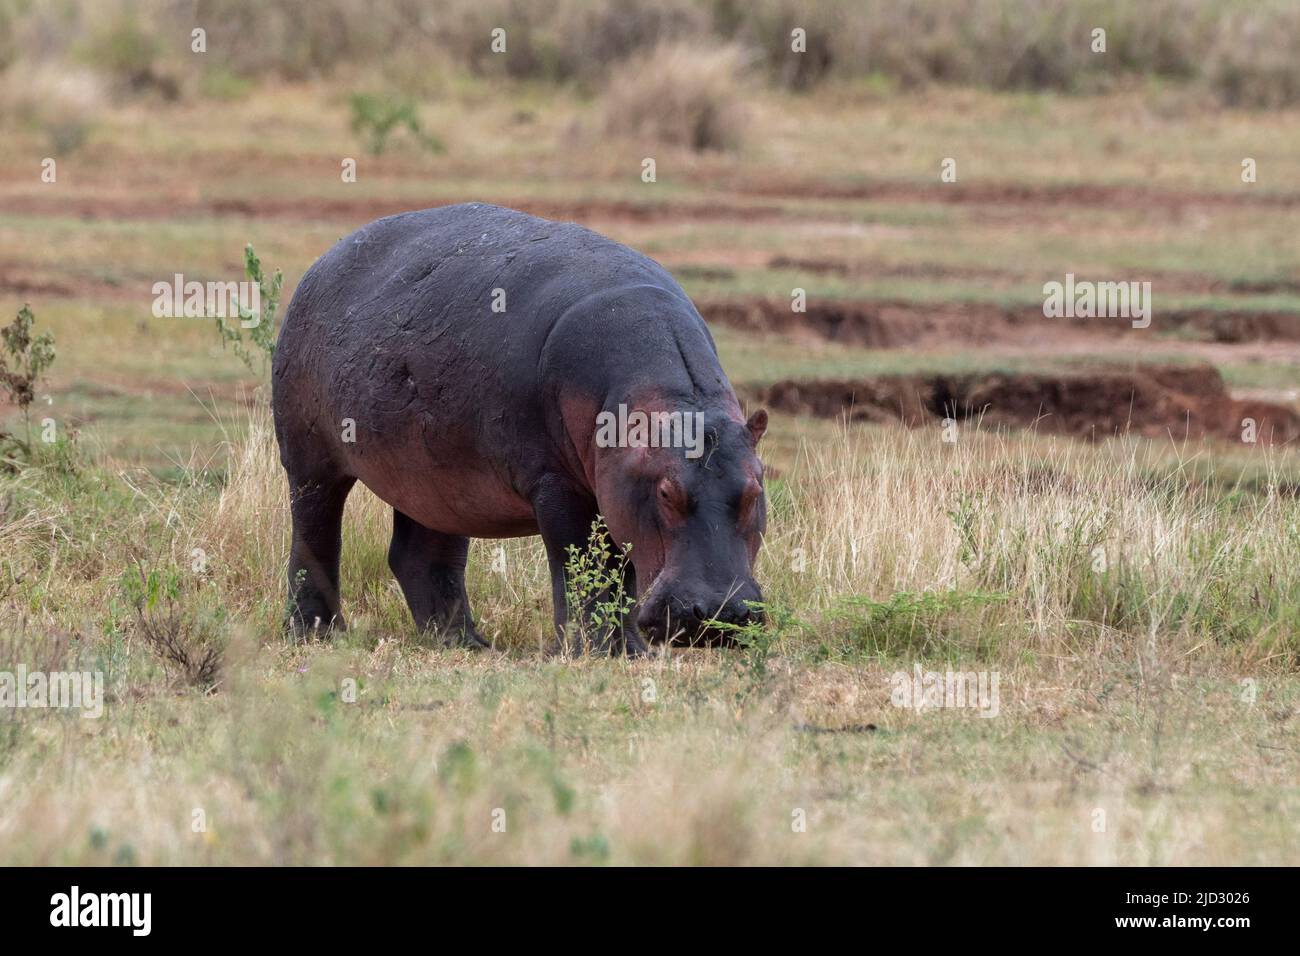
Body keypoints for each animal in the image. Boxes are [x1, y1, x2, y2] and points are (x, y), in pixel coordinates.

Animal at [271, 202, 767, 654]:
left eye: (755, 491)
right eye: (667, 493)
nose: (717, 616)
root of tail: (325, 260)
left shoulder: (618, 492)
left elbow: (620, 574)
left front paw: (630, 652)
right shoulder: (558, 484)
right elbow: (578, 568)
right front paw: (591, 651)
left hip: (436, 478)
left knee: (420, 555)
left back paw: (467, 644)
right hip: (310, 458)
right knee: (315, 533)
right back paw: (316, 633)